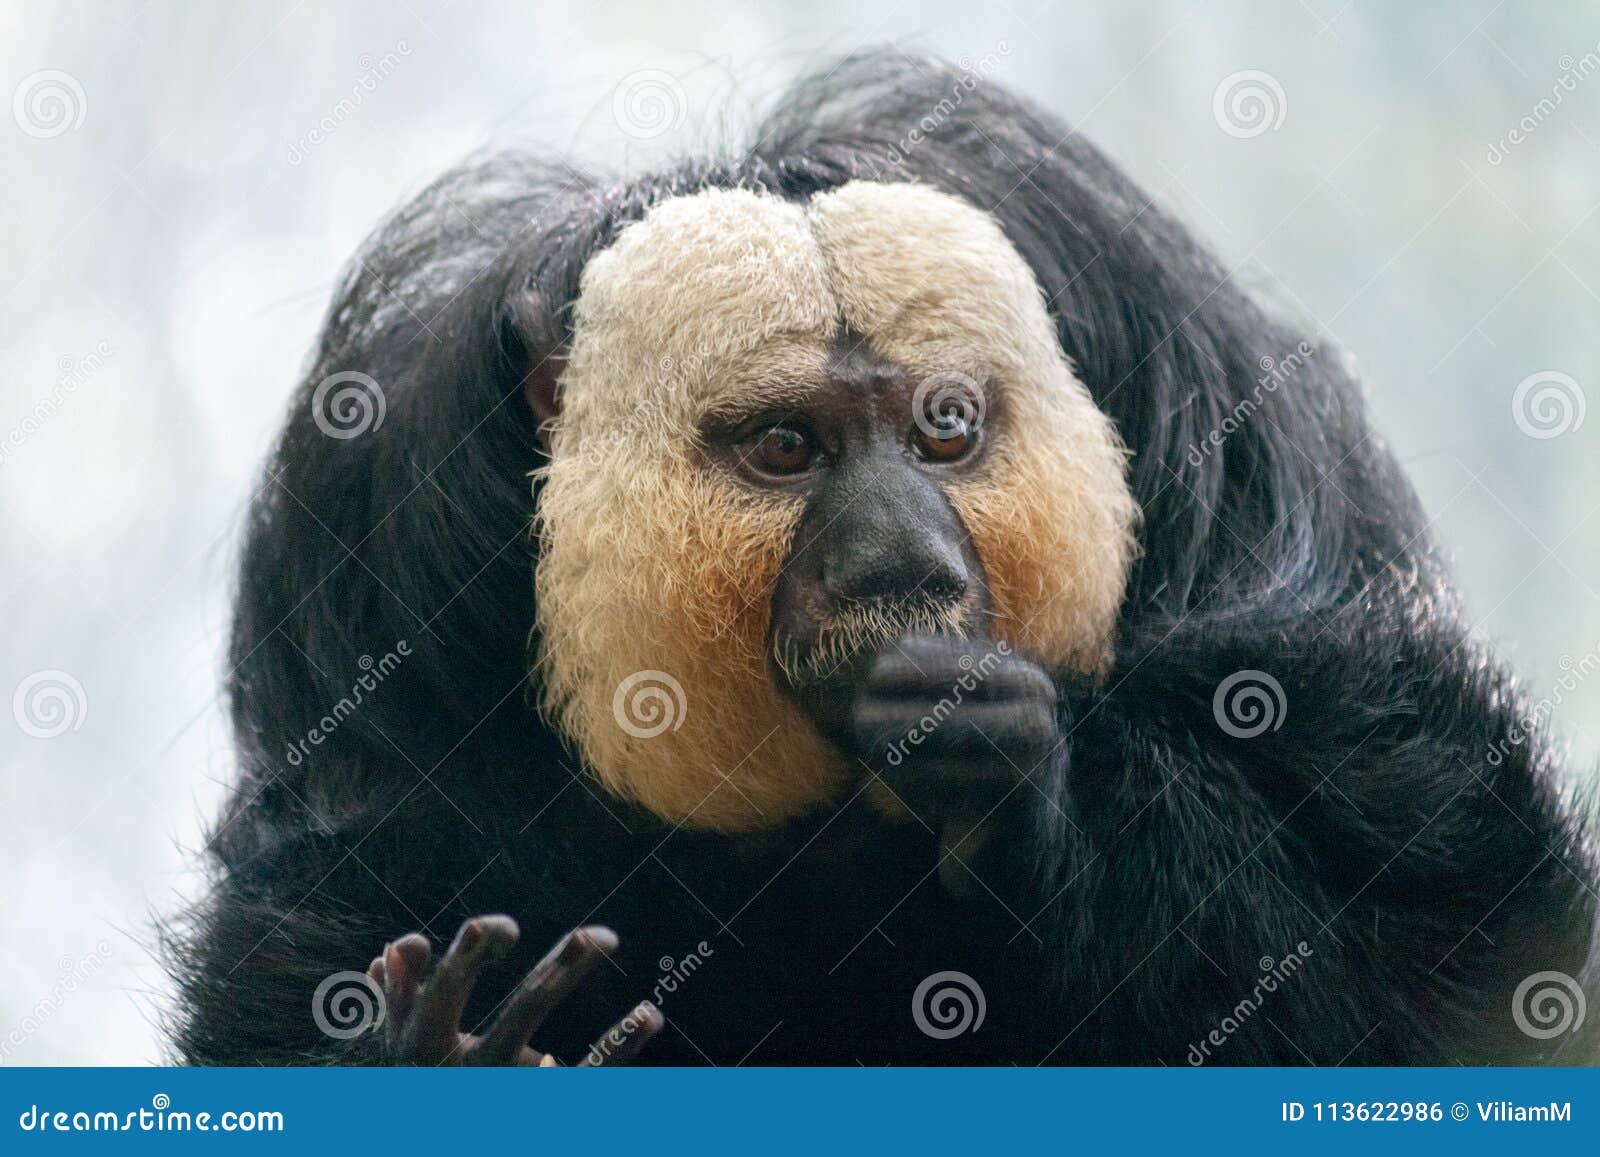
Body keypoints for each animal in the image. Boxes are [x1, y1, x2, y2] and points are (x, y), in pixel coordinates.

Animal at [163, 51, 1599, 1066]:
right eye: (785, 447)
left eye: (943, 429)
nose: (897, 557)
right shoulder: (381, 552)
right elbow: (332, 913)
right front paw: (452, 1054)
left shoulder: (1221, 423)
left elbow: (1443, 916)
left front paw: (1011, 784)